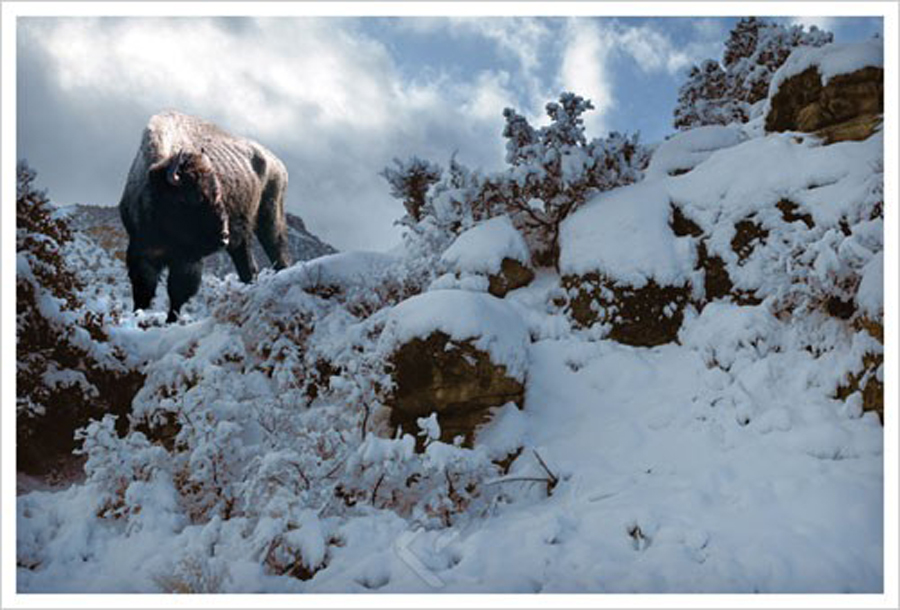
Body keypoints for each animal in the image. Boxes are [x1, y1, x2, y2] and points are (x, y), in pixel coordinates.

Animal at [119, 111, 291, 322]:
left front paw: (171, 321)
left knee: (278, 253)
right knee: (248, 269)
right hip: (241, 241)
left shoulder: (187, 259)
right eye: (189, 198)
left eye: (218, 193)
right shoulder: (141, 253)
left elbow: (177, 293)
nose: (223, 236)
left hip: (270, 220)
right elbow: (143, 291)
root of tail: (277, 164)